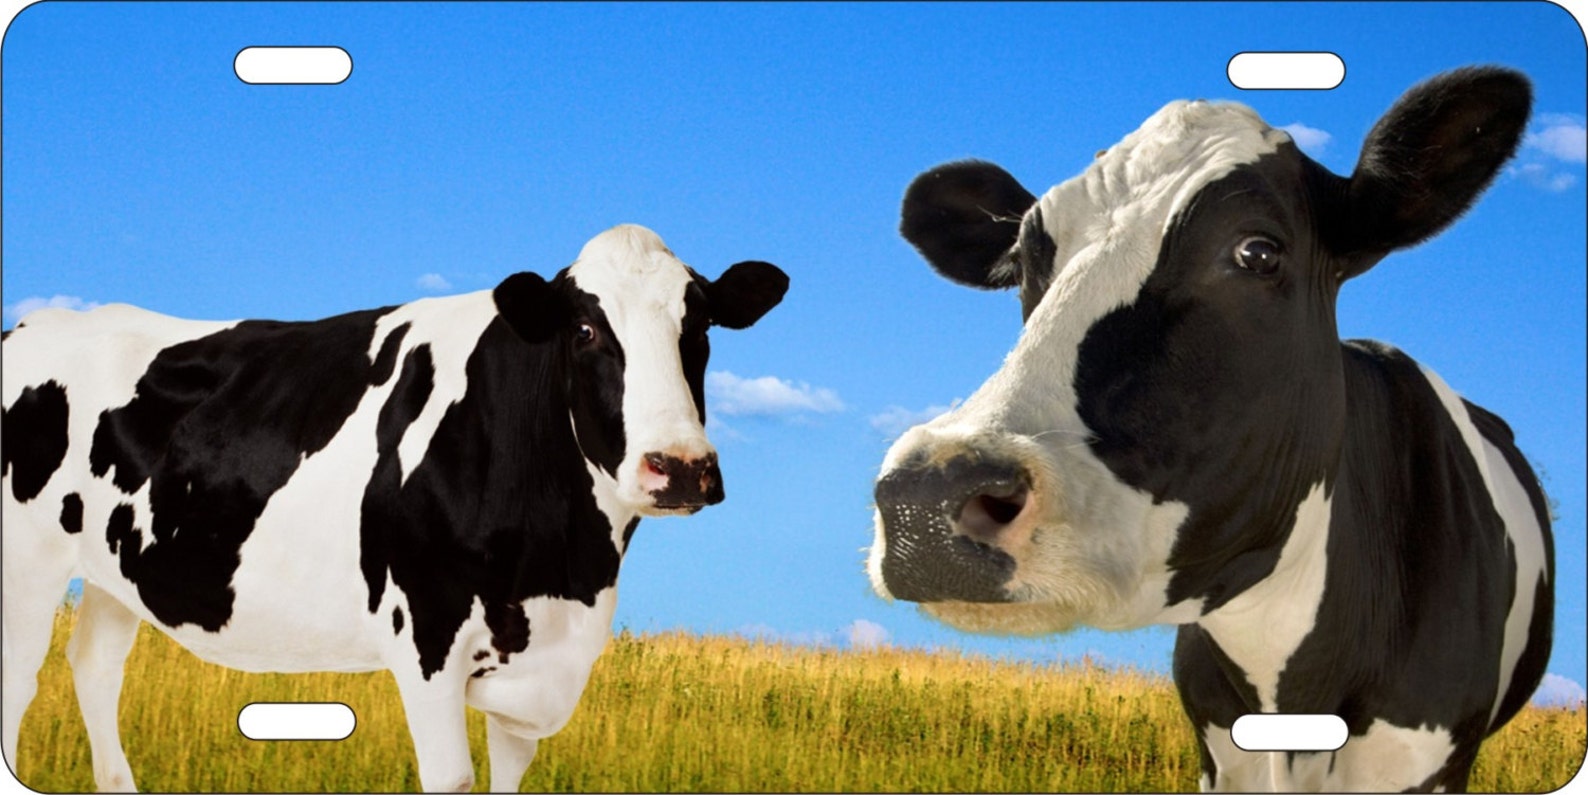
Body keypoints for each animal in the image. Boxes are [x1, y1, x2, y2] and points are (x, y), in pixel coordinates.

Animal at [2, 224, 788, 792]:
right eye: (587, 331)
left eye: (700, 328)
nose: (680, 467)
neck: (564, 567)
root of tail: (30, 326)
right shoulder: (427, 635)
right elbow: (453, 778)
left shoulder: (540, 668)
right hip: (27, 567)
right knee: (20, 678)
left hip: (117, 570)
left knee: (95, 667)